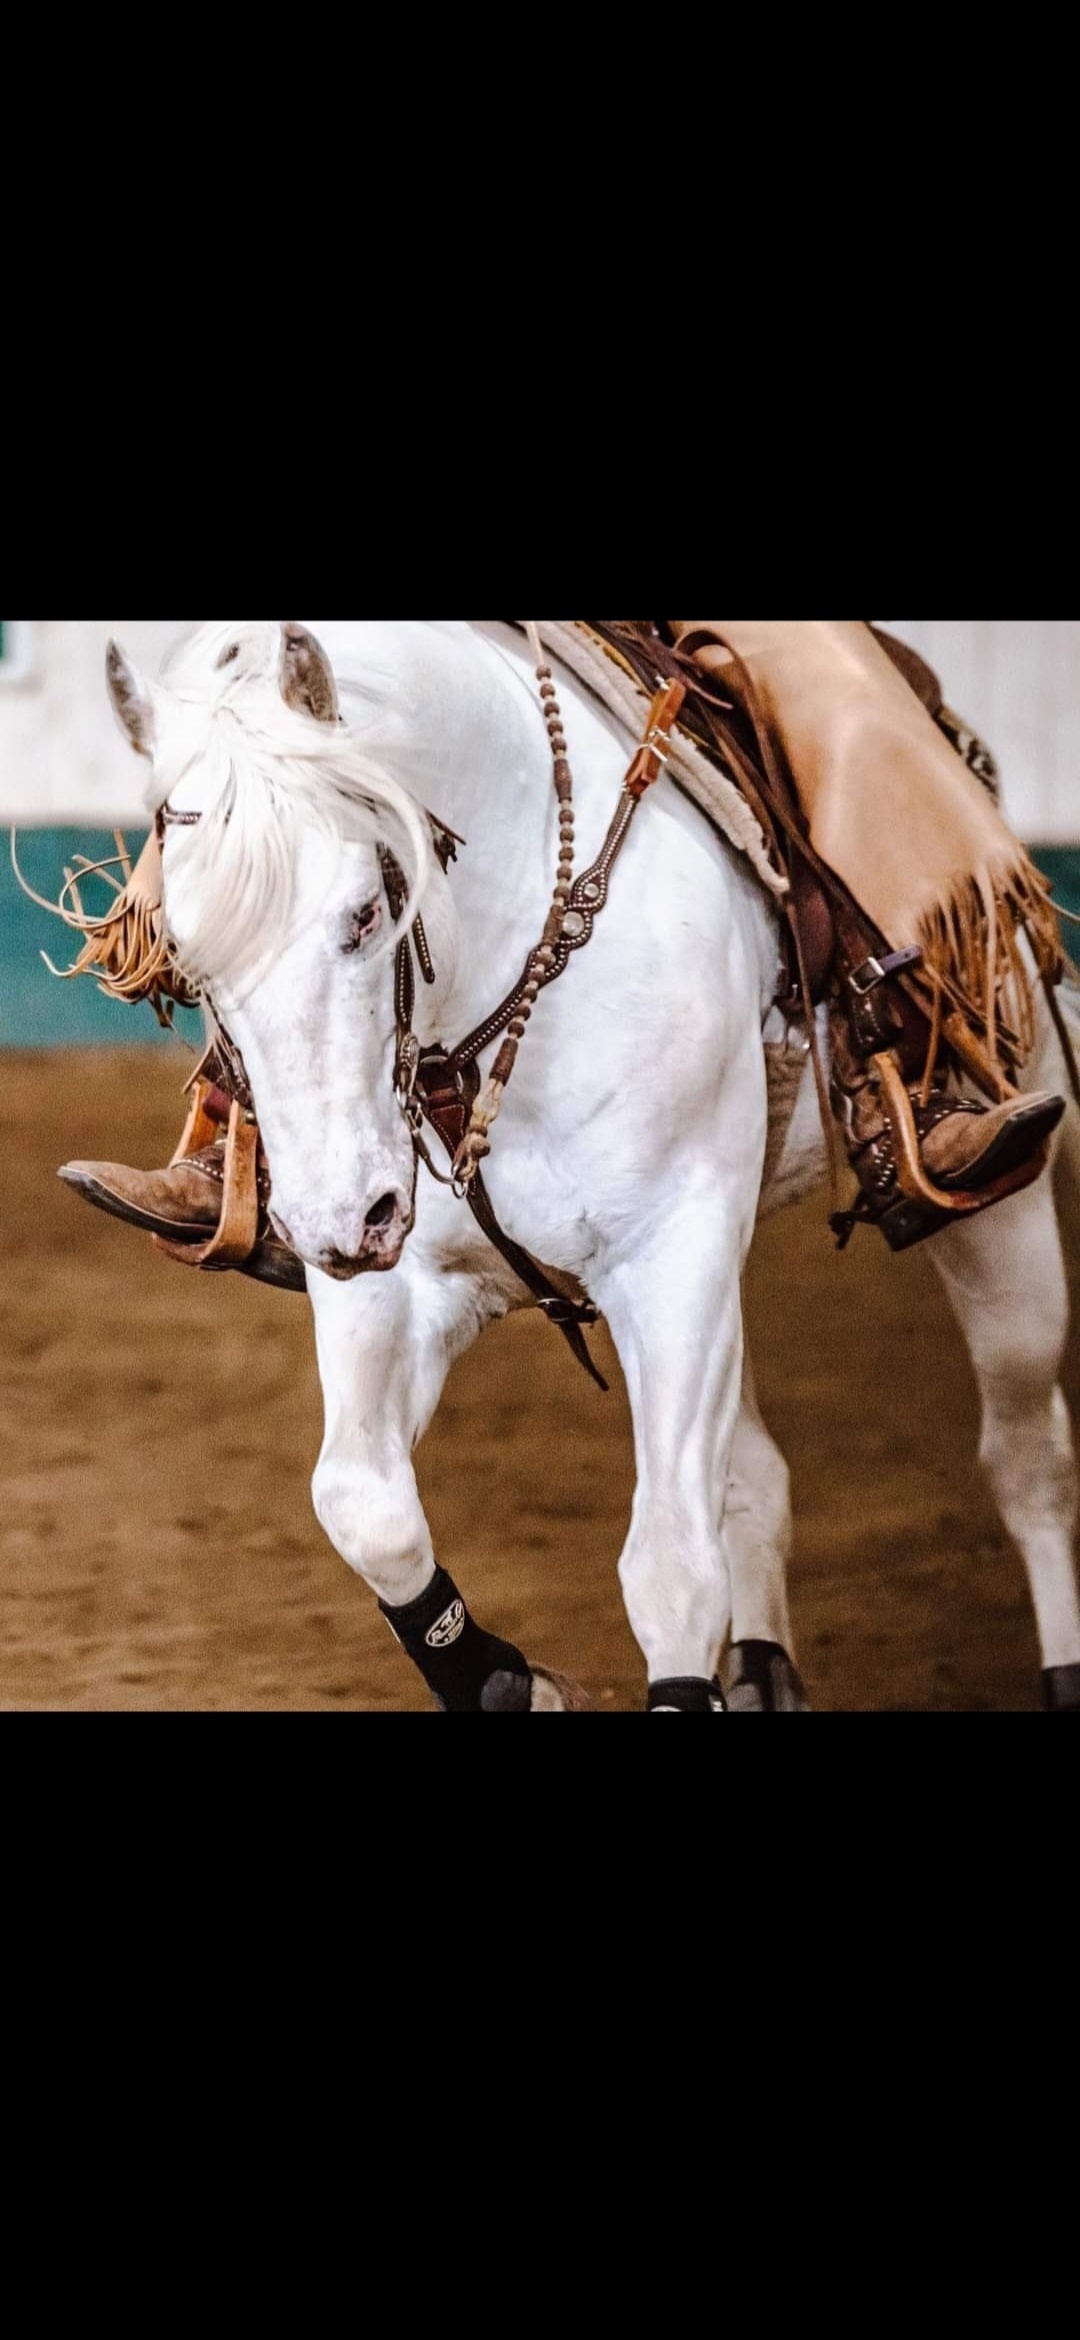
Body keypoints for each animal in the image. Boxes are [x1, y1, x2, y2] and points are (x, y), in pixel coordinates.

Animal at [102, 618, 1080, 1712]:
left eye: (363, 913)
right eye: (184, 953)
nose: (336, 1221)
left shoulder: (671, 1255)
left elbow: (670, 1571)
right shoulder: (404, 1281)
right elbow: (366, 1506)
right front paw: (507, 1680)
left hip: (1000, 1200)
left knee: (1029, 1459)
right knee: (754, 1478)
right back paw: (763, 1667)